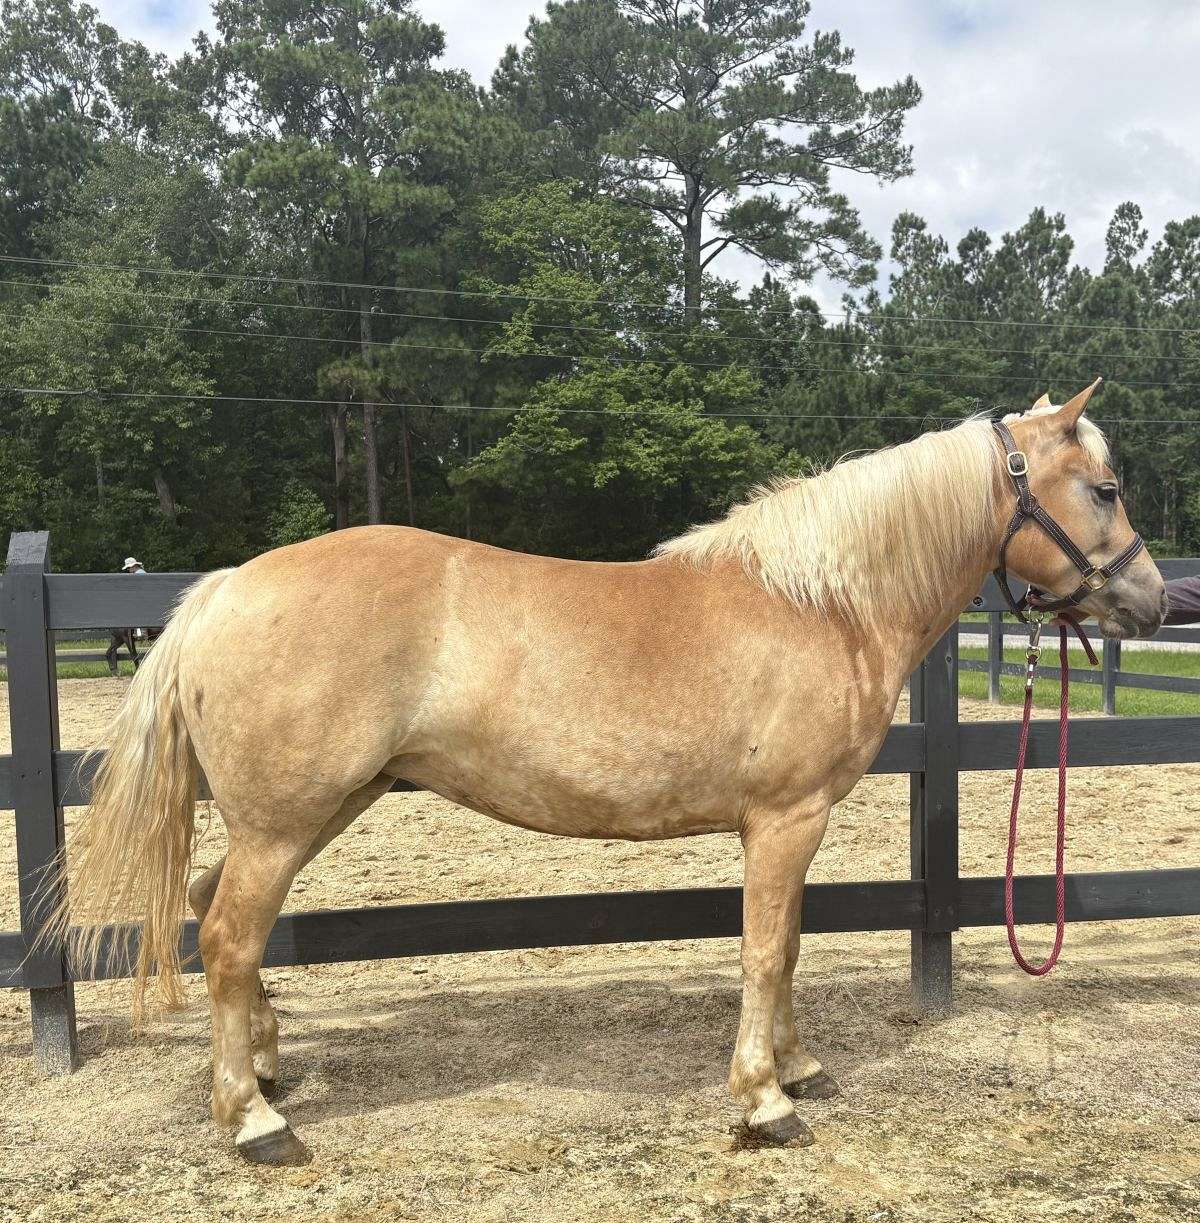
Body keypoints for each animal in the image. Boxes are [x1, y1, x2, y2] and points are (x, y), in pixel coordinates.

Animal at [45, 383, 1166, 1166]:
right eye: (1105, 489)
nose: (1159, 600)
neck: (821, 602)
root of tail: (226, 586)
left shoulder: (795, 825)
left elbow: (790, 947)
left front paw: (799, 1064)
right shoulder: (784, 818)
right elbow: (765, 950)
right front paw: (765, 1098)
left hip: (318, 808)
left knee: (211, 908)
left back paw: (272, 1067)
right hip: (287, 821)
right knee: (228, 935)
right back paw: (253, 1120)